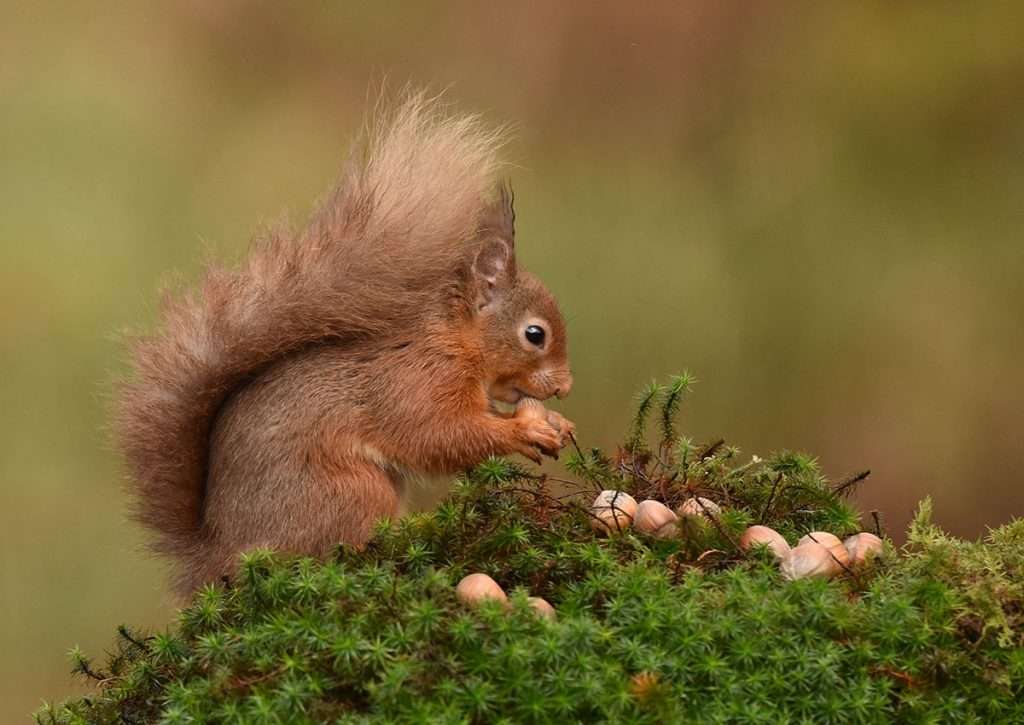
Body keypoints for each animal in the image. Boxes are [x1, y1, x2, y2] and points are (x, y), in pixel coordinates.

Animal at [116, 94, 575, 596]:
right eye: (535, 335)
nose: (566, 387)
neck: (455, 341)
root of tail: (220, 556)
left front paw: (556, 422)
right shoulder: (415, 384)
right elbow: (441, 436)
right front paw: (523, 430)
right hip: (350, 491)